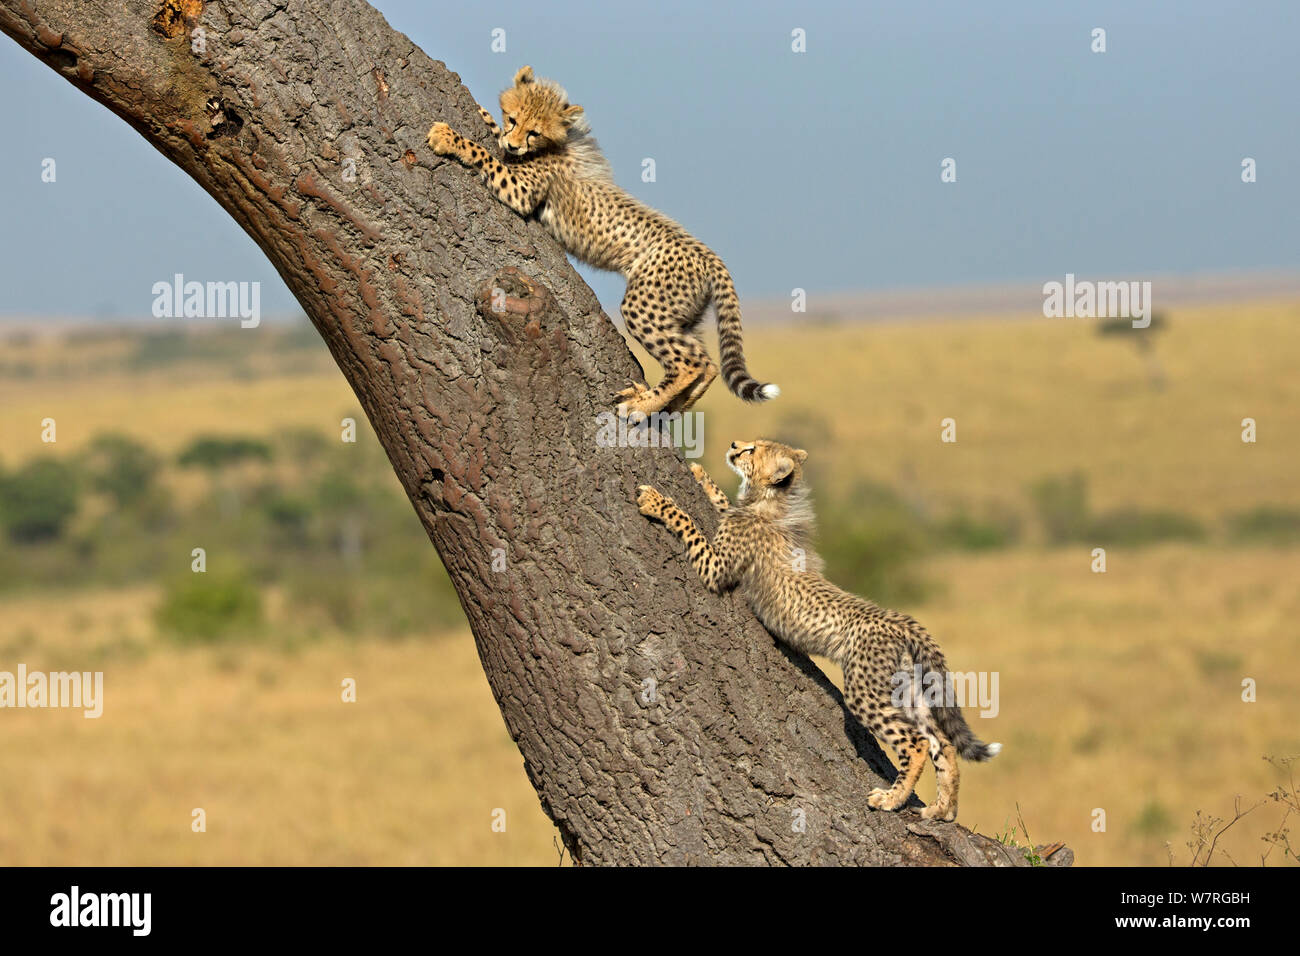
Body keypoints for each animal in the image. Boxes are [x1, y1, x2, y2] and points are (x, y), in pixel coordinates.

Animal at [427, 66, 777, 417]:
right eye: (513, 119)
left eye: (534, 132)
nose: (515, 146)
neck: (558, 143)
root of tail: (710, 256)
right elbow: (494, 135)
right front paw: (485, 118)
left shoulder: (520, 190)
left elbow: (484, 153)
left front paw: (448, 137)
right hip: (681, 314)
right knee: (706, 362)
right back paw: (674, 404)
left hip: (644, 305)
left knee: (689, 362)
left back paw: (643, 404)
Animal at [635, 440, 1001, 822]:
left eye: (753, 451)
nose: (735, 445)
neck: (771, 501)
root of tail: (897, 618)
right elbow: (722, 504)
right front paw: (701, 476)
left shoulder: (716, 568)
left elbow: (689, 523)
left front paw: (657, 501)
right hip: (905, 688)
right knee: (941, 742)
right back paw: (943, 807)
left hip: (864, 691)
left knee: (915, 743)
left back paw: (892, 798)